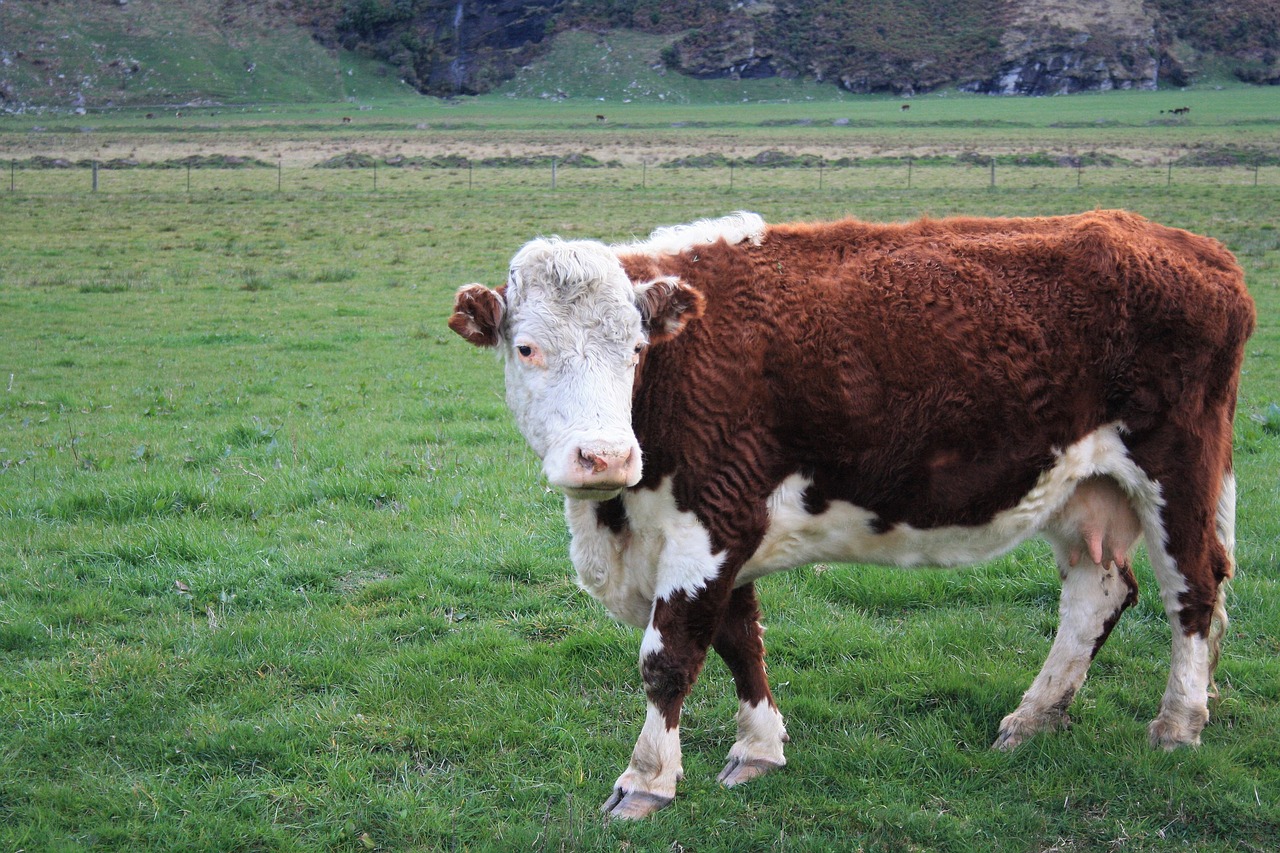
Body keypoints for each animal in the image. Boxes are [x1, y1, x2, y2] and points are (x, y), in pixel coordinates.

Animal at [448, 210, 1254, 819]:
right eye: (527, 347)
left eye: (637, 348)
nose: (605, 456)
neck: (617, 519)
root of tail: (1189, 246)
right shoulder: (725, 527)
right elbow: (741, 639)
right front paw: (758, 748)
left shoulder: (715, 518)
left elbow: (670, 657)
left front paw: (646, 781)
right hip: (1082, 482)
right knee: (1100, 591)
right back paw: (1034, 716)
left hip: (1178, 465)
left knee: (1193, 588)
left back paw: (1177, 723)